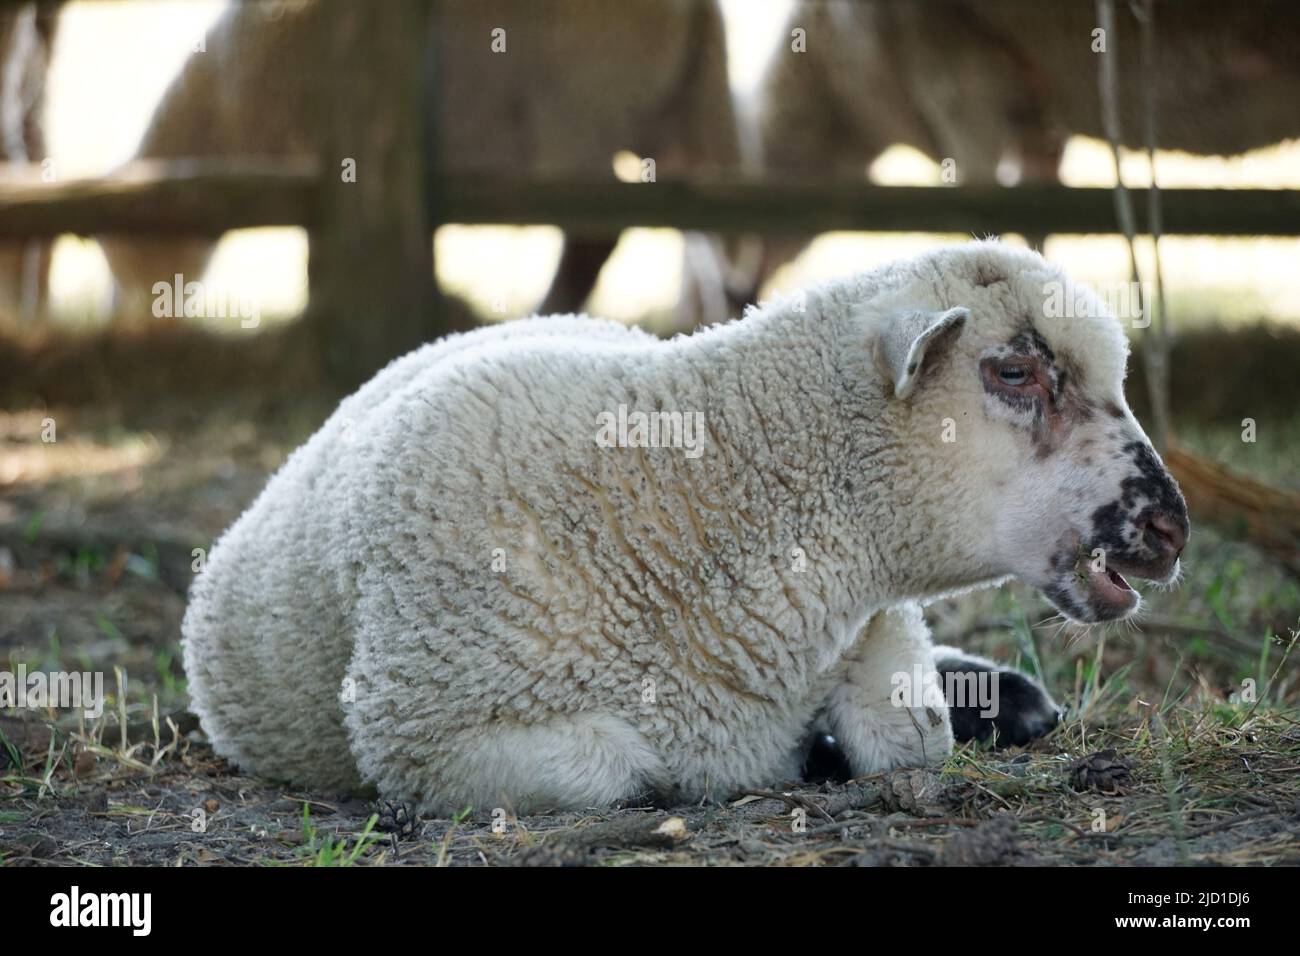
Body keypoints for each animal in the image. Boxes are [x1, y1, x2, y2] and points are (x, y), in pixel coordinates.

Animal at [181, 240, 1189, 814]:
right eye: (1014, 373)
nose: (1171, 525)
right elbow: (629, 770)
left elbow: (912, 736)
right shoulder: (426, 735)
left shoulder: (876, 622)